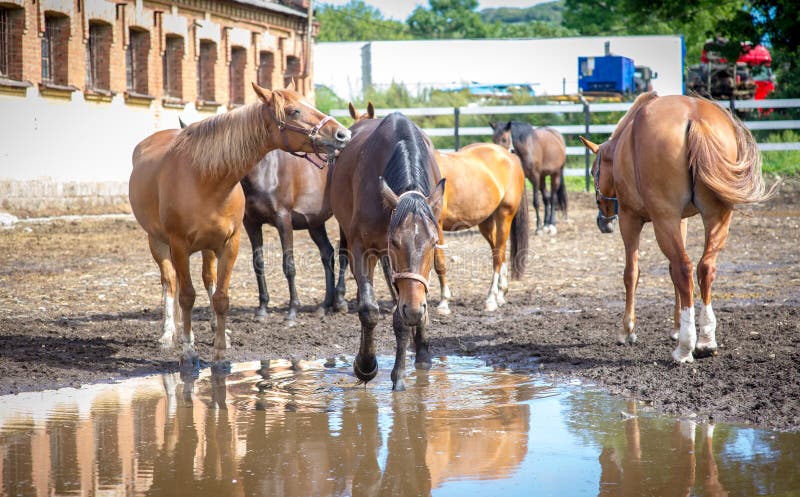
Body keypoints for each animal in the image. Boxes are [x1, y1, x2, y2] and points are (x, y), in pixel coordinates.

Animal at [129, 83, 351, 365]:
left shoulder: (231, 242)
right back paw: (169, 334)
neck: (206, 179)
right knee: (170, 282)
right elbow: (187, 296)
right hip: (158, 242)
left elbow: (222, 296)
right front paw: (189, 351)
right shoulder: (181, 245)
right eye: (294, 111)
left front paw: (221, 350)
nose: (343, 134)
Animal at [331, 112, 445, 391]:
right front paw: (365, 365)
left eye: (433, 243)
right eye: (394, 241)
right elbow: (368, 309)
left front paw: (402, 374)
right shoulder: (361, 249)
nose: (414, 309)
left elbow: (402, 316)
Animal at [579, 91, 774, 363]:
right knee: (704, 267)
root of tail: (695, 117)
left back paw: (685, 347)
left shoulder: (631, 219)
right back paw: (705, 340)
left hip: (664, 219)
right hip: (716, 216)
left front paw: (627, 330)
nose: (603, 221)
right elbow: (672, 274)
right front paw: (676, 327)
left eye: (593, 171)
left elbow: (632, 273)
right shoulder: (681, 220)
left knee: (684, 268)